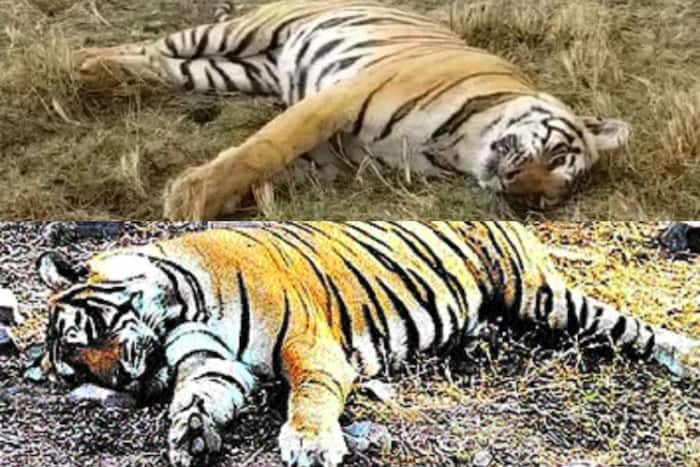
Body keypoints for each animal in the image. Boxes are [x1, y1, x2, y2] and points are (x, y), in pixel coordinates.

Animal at [37, 221, 699, 467]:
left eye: (88, 335)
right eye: (80, 370)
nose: (126, 380)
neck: (182, 306)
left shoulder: (310, 347)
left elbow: (308, 394)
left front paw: (309, 442)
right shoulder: (213, 365)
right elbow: (198, 397)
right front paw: (190, 434)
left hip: (540, 294)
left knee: (629, 326)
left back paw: (687, 356)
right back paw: (484, 342)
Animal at [73, 1, 631, 220]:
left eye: (548, 200)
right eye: (557, 154)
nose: (521, 193)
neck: (457, 150)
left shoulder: (335, 159)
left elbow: (275, 169)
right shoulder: (336, 99)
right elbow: (264, 147)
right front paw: (192, 198)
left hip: (230, 72)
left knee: (159, 62)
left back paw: (98, 74)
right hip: (241, 31)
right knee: (156, 44)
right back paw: (83, 64)